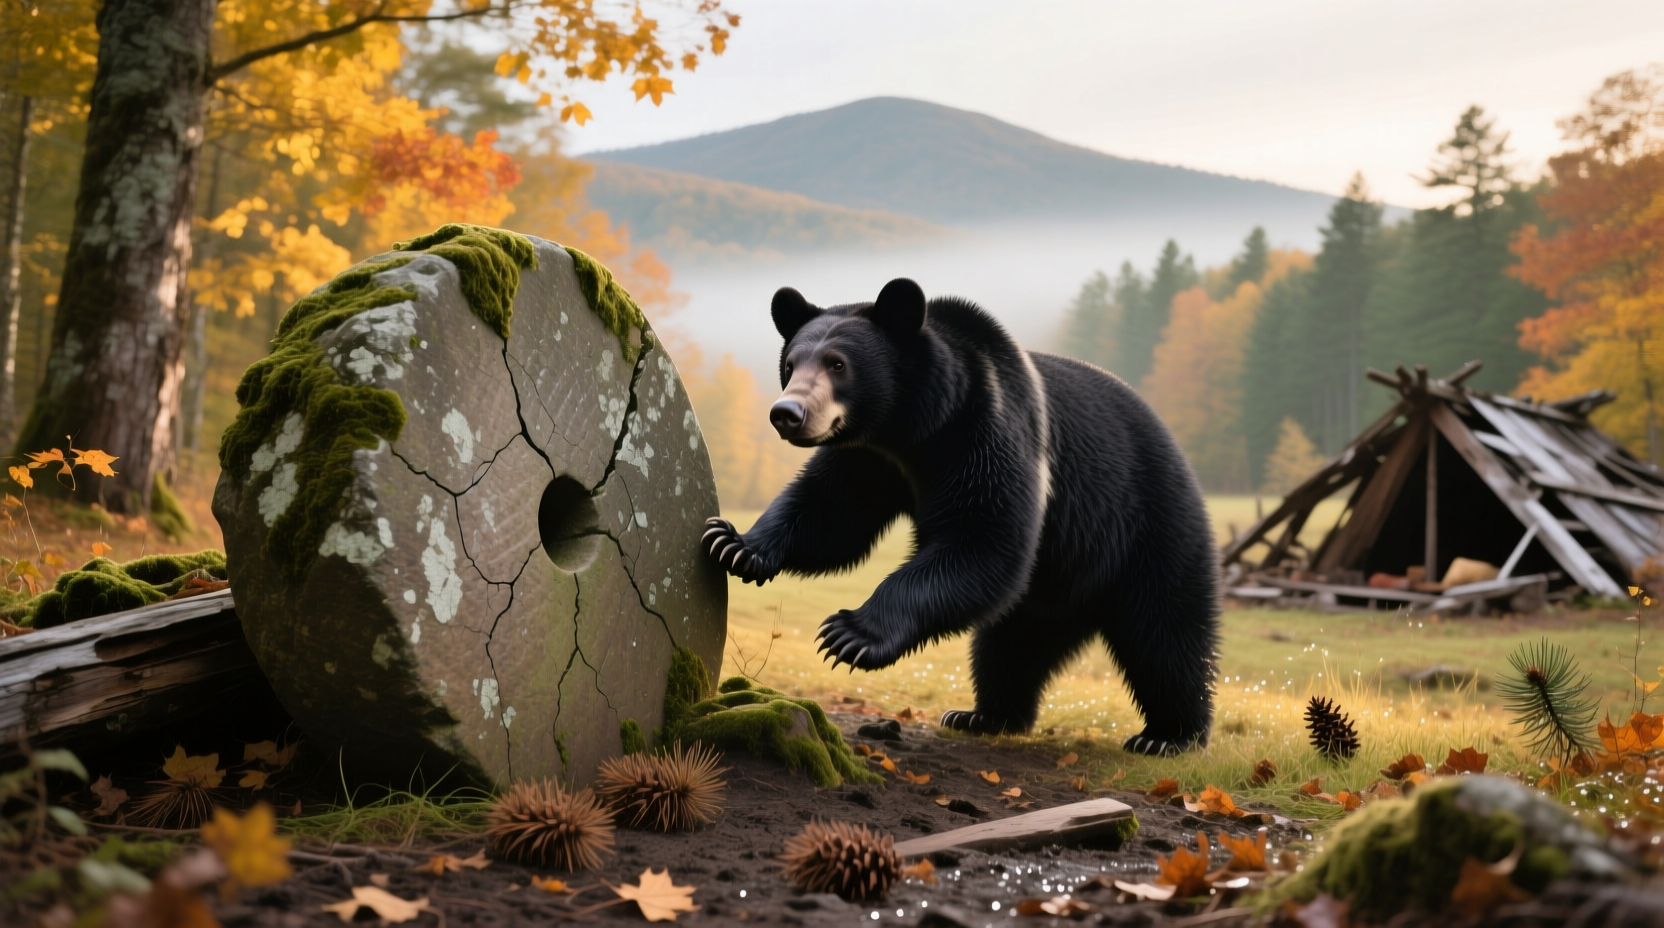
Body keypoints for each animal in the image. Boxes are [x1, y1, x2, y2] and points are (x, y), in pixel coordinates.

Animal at [701, 278, 1219, 755]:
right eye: (791, 365)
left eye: (838, 364)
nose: (787, 412)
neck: (914, 428)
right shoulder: (870, 459)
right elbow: (829, 512)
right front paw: (735, 544)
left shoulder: (986, 433)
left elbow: (983, 538)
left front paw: (850, 633)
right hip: (1055, 583)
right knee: (1012, 644)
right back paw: (985, 714)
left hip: (1149, 525)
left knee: (1165, 632)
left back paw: (1168, 735)